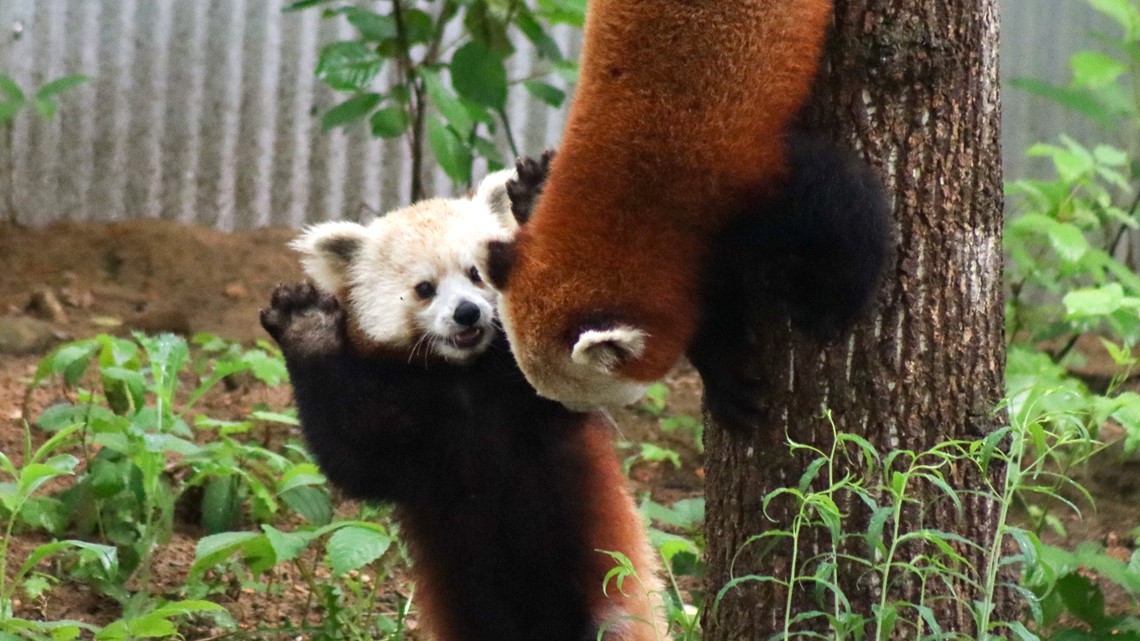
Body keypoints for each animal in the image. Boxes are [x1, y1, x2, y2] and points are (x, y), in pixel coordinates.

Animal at [260, 169, 669, 641]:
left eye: (476, 274)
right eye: (424, 289)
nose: (468, 313)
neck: (465, 378)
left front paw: (537, 204)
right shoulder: (407, 430)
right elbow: (351, 456)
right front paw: (305, 324)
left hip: (607, 586)